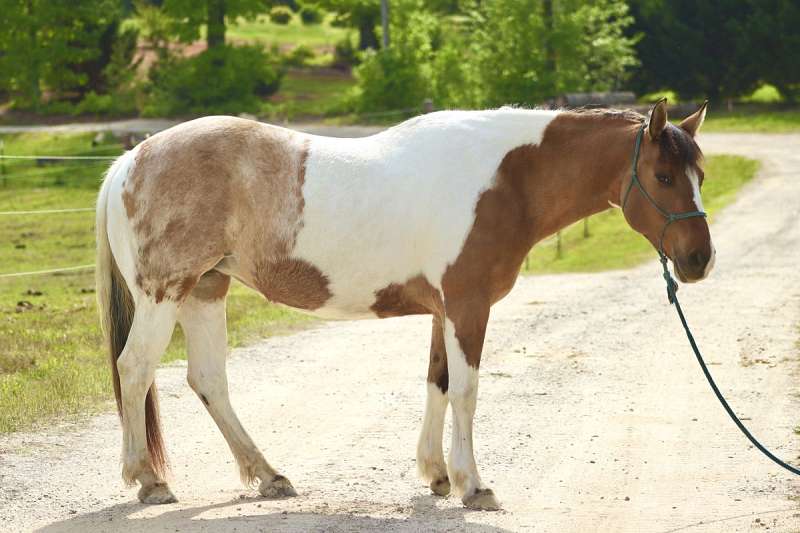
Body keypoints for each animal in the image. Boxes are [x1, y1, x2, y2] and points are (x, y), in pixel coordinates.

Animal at [95, 99, 713, 510]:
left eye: (700, 174)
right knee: (135, 369)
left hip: (205, 290)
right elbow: (465, 391)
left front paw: (437, 475)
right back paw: (148, 480)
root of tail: (130, 162)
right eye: (663, 175)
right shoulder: (467, 306)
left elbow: (437, 382)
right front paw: (474, 485)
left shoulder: (445, 310)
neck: (503, 178)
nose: (699, 260)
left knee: (208, 380)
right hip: (164, 294)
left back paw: (268, 476)